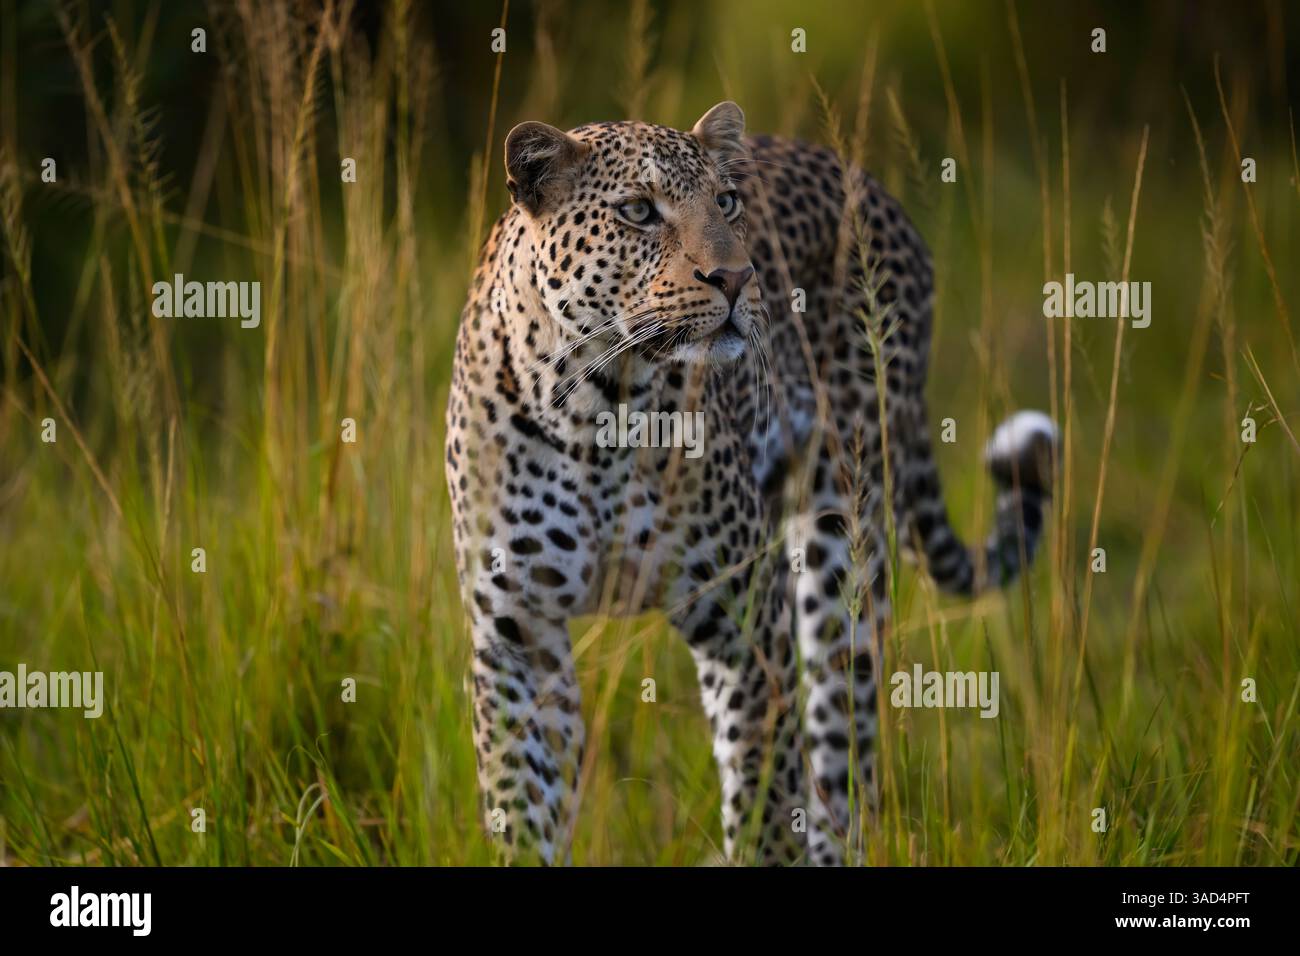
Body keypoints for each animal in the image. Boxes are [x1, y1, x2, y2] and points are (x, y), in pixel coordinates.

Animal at [444, 100, 1057, 866]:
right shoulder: (516, 634)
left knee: (842, 751)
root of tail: (864, 180)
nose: (737, 277)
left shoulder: (742, 617)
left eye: (727, 202)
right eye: (639, 212)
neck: (597, 406)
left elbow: (766, 797)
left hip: (842, 542)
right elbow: (523, 809)